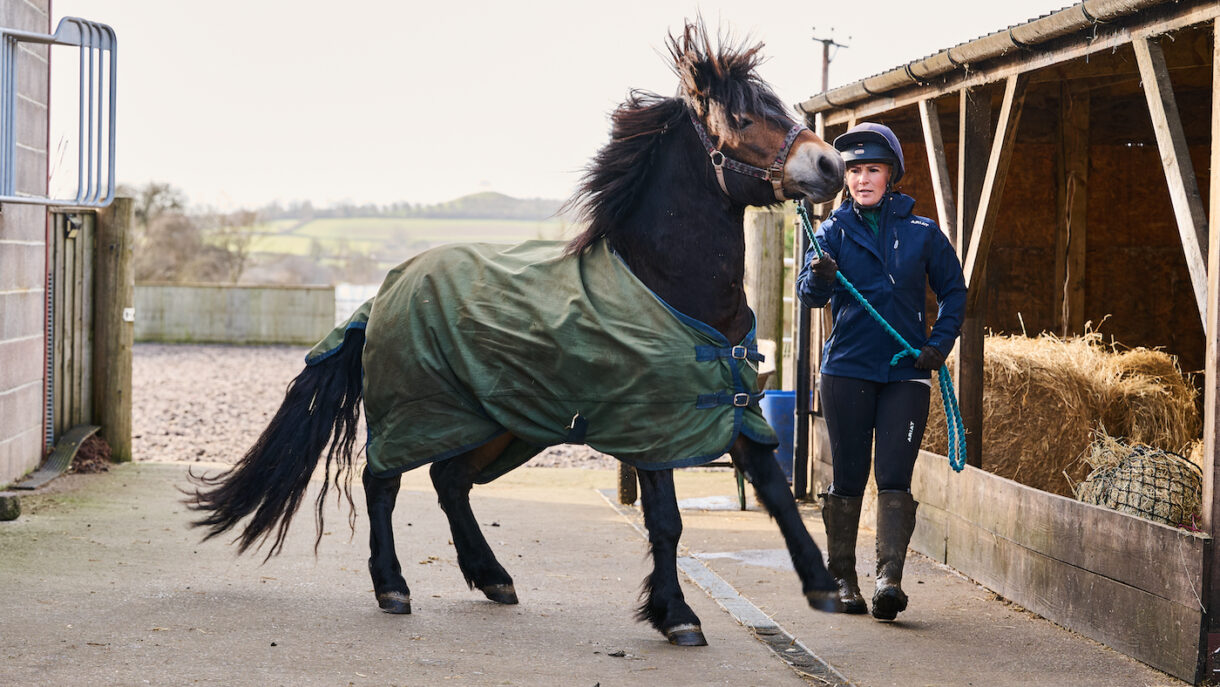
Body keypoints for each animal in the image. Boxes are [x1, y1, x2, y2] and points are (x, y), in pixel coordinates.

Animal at [185, 21, 846, 648]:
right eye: (743, 117)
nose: (831, 165)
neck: (668, 286)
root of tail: (381, 293)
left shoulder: (737, 410)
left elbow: (776, 492)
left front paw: (823, 586)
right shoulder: (653, 427)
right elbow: (667, 522)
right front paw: (677, 616)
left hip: (495, 421)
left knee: (448, 481)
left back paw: (493, 577)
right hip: (416, 414)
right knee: (382, 481)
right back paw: (393, 586)